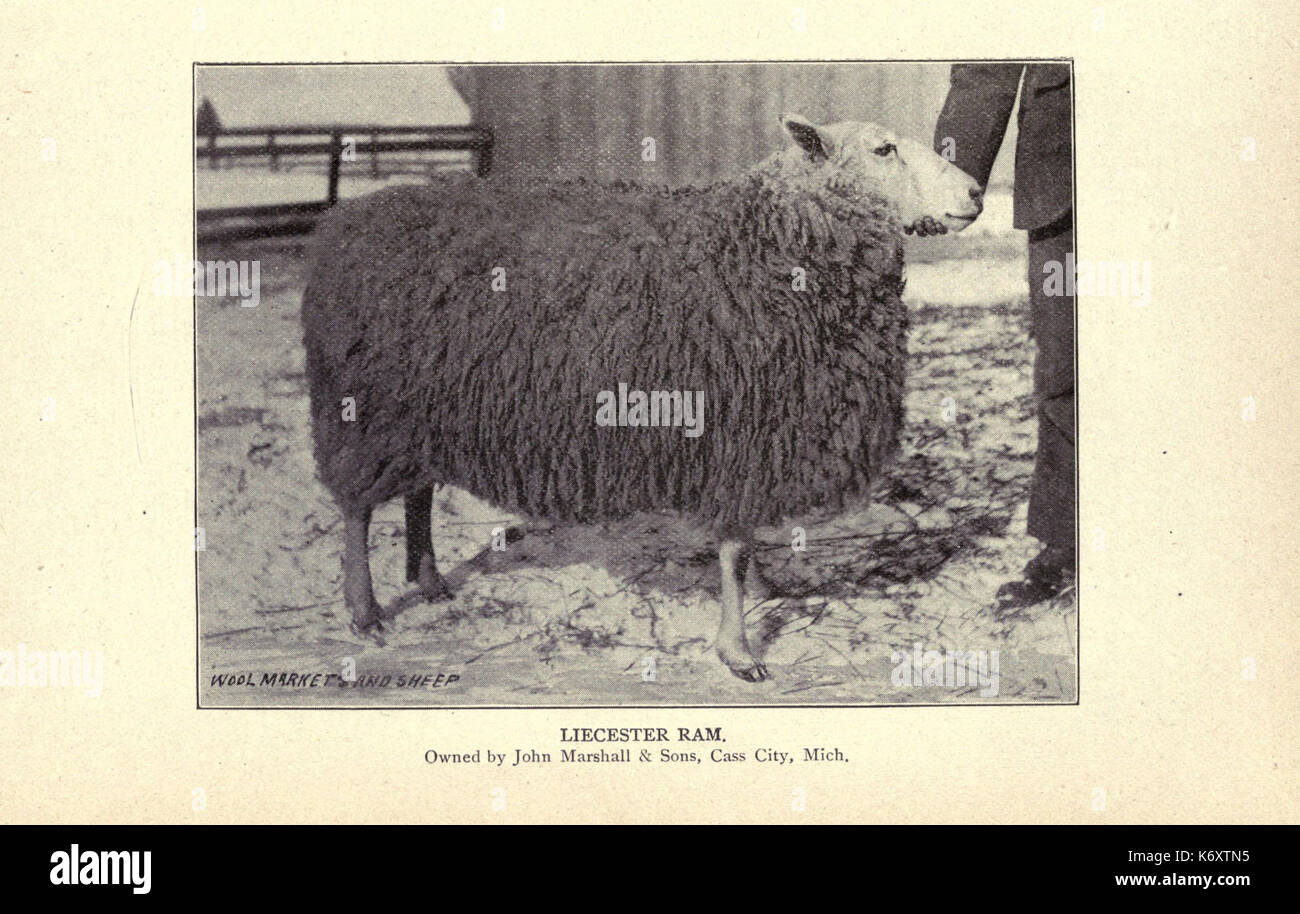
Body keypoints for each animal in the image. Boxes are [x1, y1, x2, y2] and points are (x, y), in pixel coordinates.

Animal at [301, 114, 983, 682]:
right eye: (883, 149)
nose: (977, 193)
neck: (774, 244)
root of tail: (343, 223)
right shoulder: (737, 430)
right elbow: (734, 550)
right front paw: (738, 650)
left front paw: (754, 607)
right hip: (362, 410)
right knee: (357, 511)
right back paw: (365, 611)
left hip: (421, 408)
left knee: (416, 492)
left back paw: (430, 580)